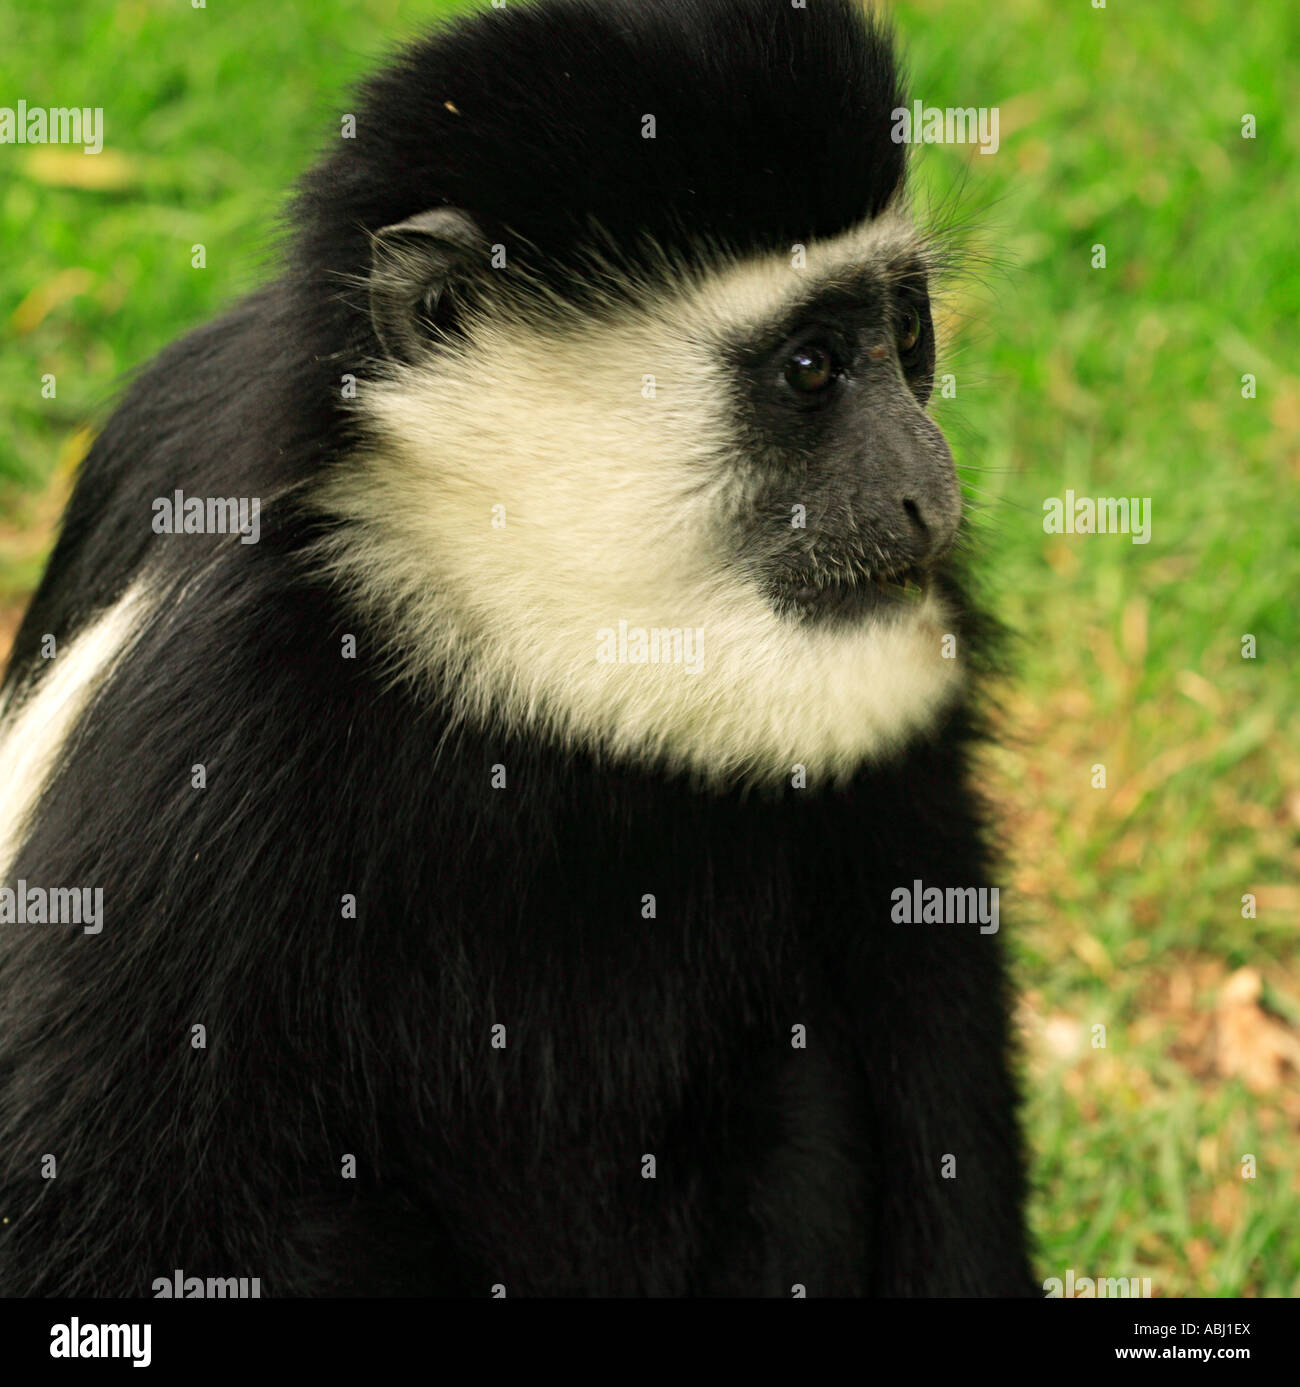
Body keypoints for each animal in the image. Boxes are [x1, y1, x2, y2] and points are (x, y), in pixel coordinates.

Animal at [0, 0, 1034, 1296]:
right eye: (810, 368)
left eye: (905, 331)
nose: (926, 493)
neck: (521, 652)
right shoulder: (201, 732)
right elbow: (80, 1196)